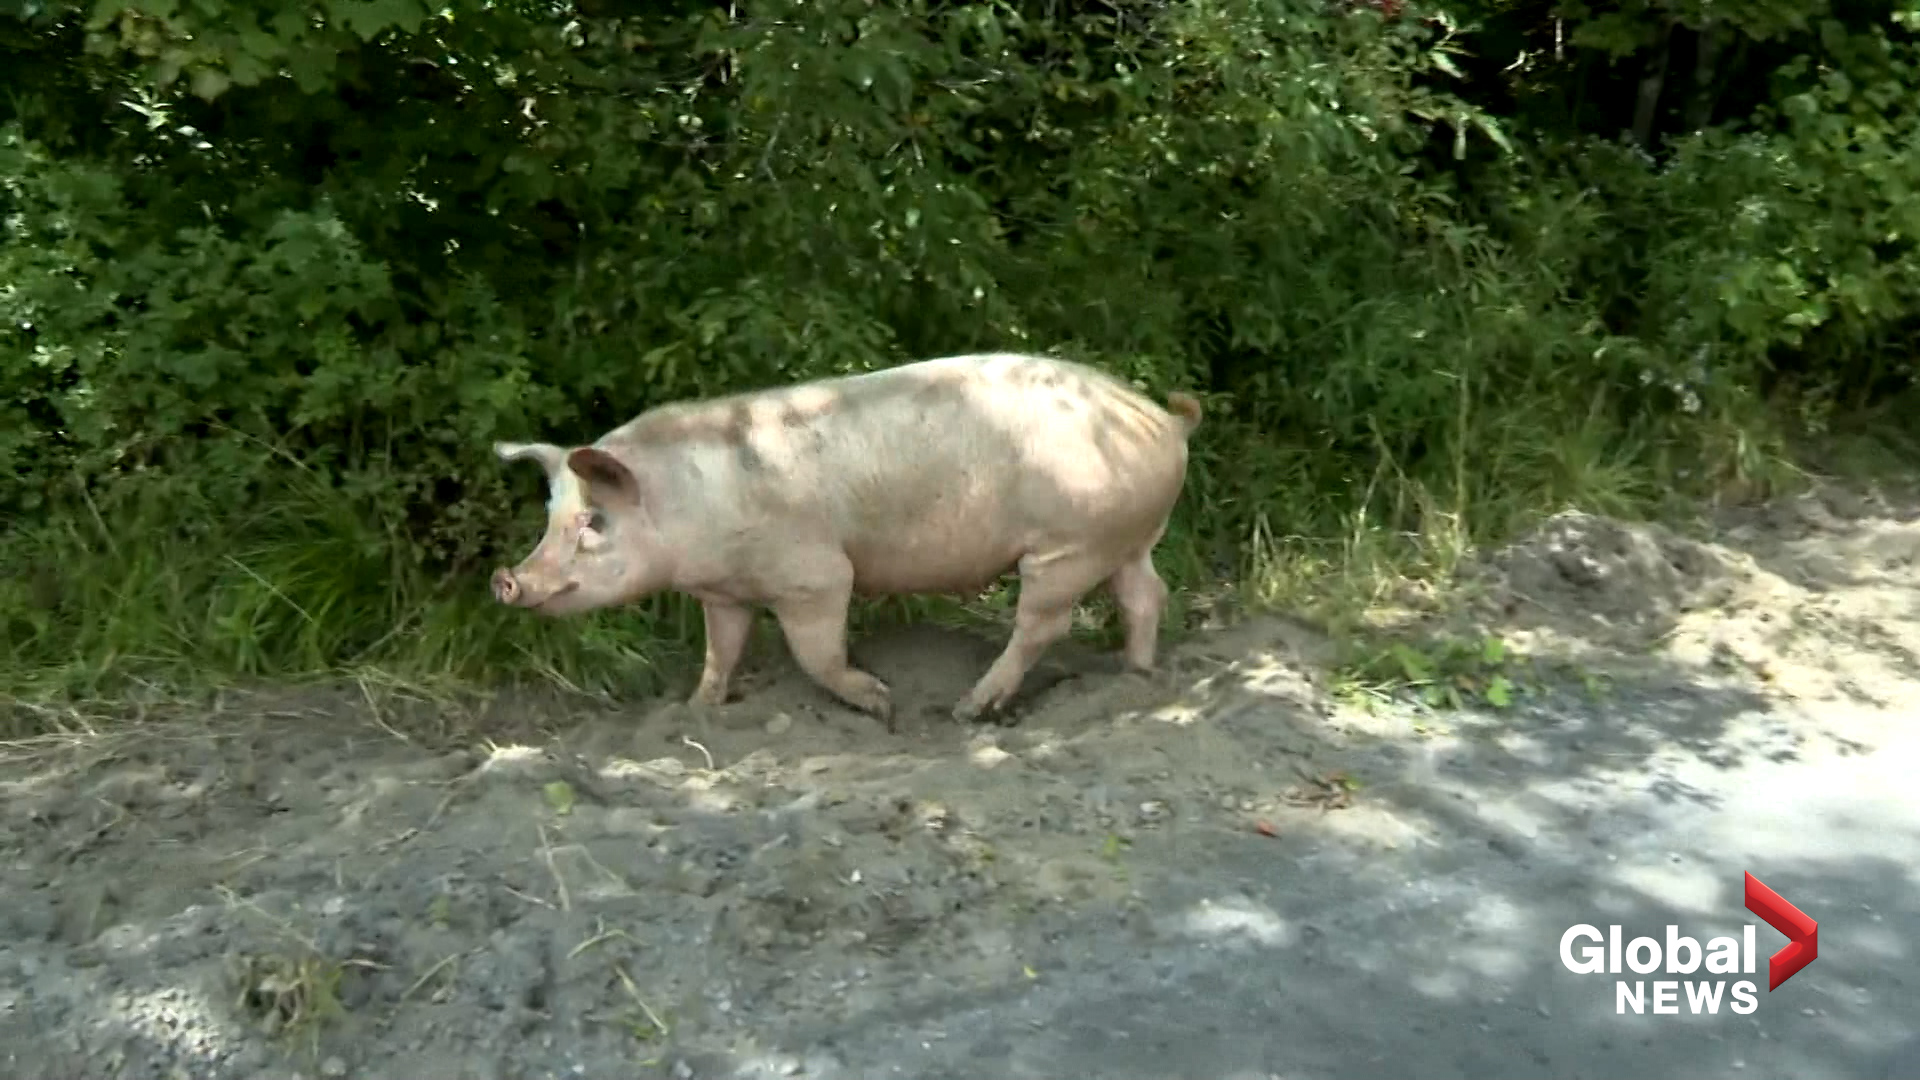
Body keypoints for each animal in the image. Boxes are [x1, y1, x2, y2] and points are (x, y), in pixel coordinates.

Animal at [490, 351, 1202, 728]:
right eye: (551, 516)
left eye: (593, 522)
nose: (507, 579)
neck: (691, 502)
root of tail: (1165, 422)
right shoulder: (723, 592)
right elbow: (721, 651)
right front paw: (697, 711)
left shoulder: (815, 576)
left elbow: (818, 655)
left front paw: (882, 704)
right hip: (1122, 538)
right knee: (1147, 594)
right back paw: (1136, 679)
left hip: (1067, 546)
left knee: (1044, 623)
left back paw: (968, 709)